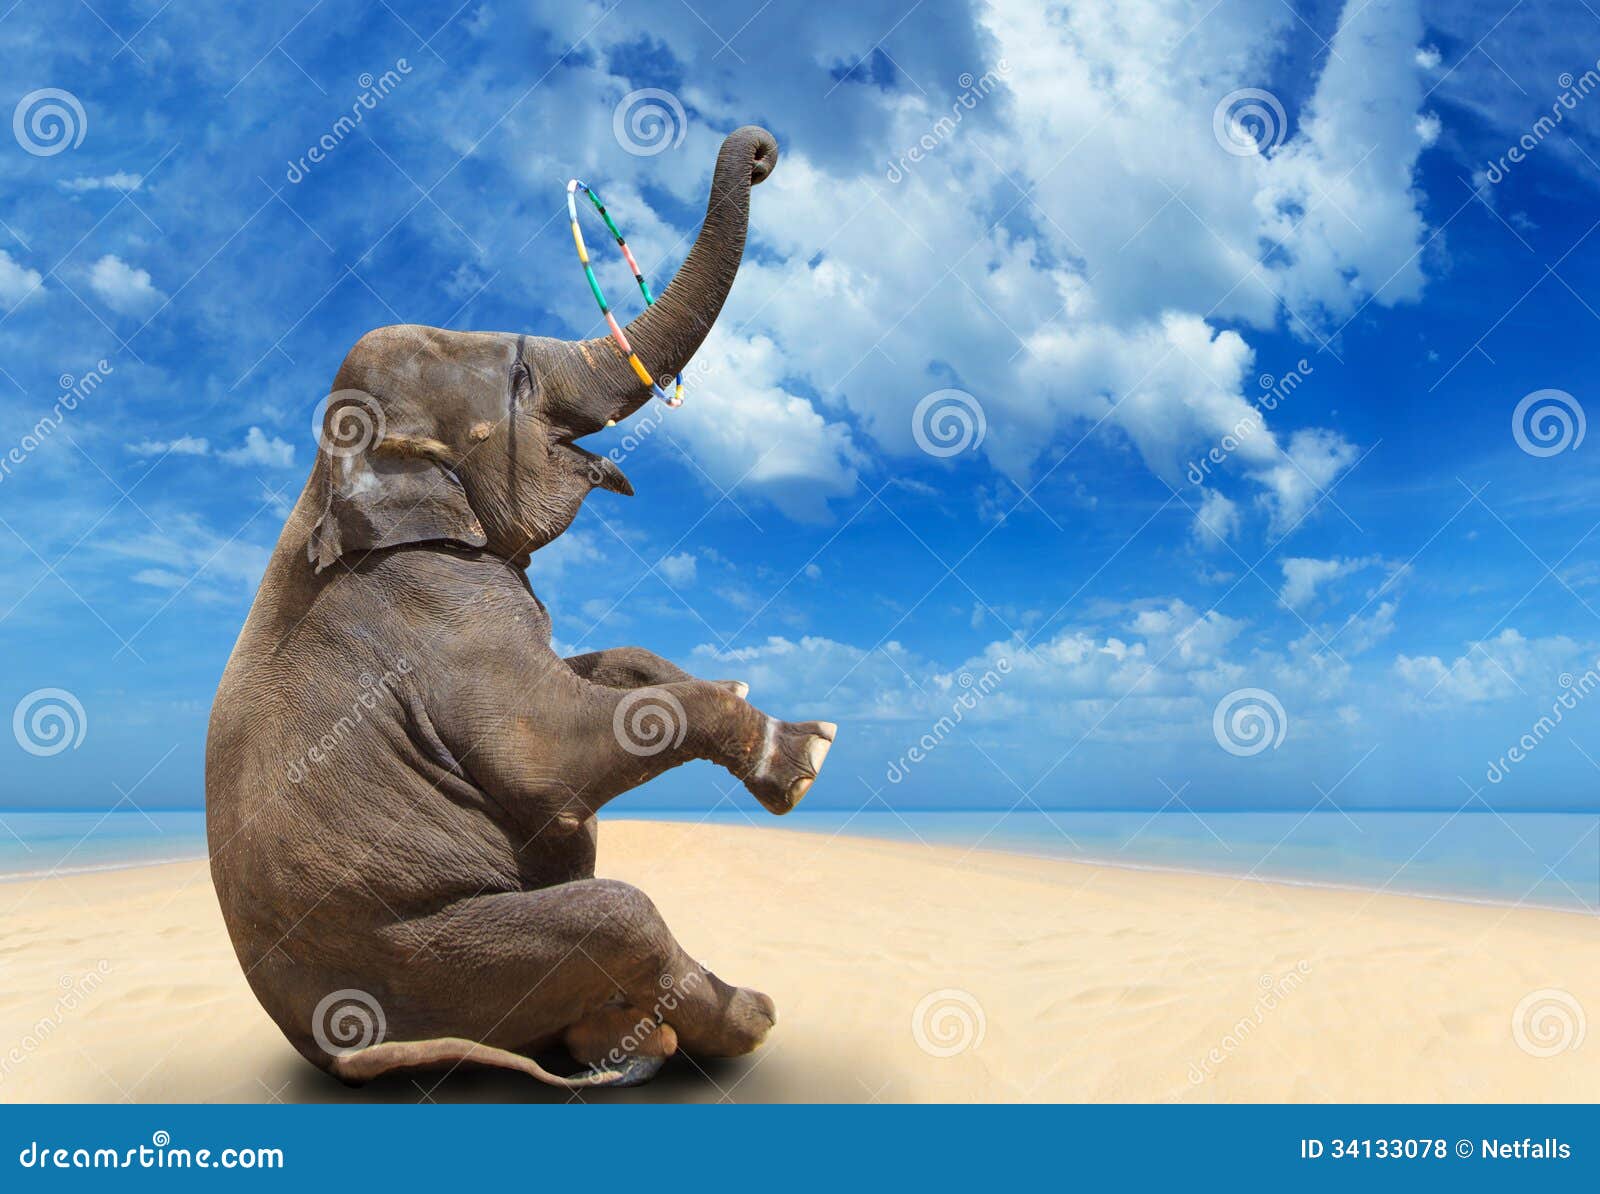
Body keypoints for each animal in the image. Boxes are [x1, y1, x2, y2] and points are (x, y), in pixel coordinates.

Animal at [205, 125, 836, 1090]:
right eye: (523, 383)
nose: (762, 151)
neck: (331, 469)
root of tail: (335, 1052)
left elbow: (603, 671)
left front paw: (733, 688)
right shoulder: (429, 605)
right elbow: (545, 757)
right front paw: (805, 758)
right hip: (433, 956)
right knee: (619, 915)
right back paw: (744, 1023)